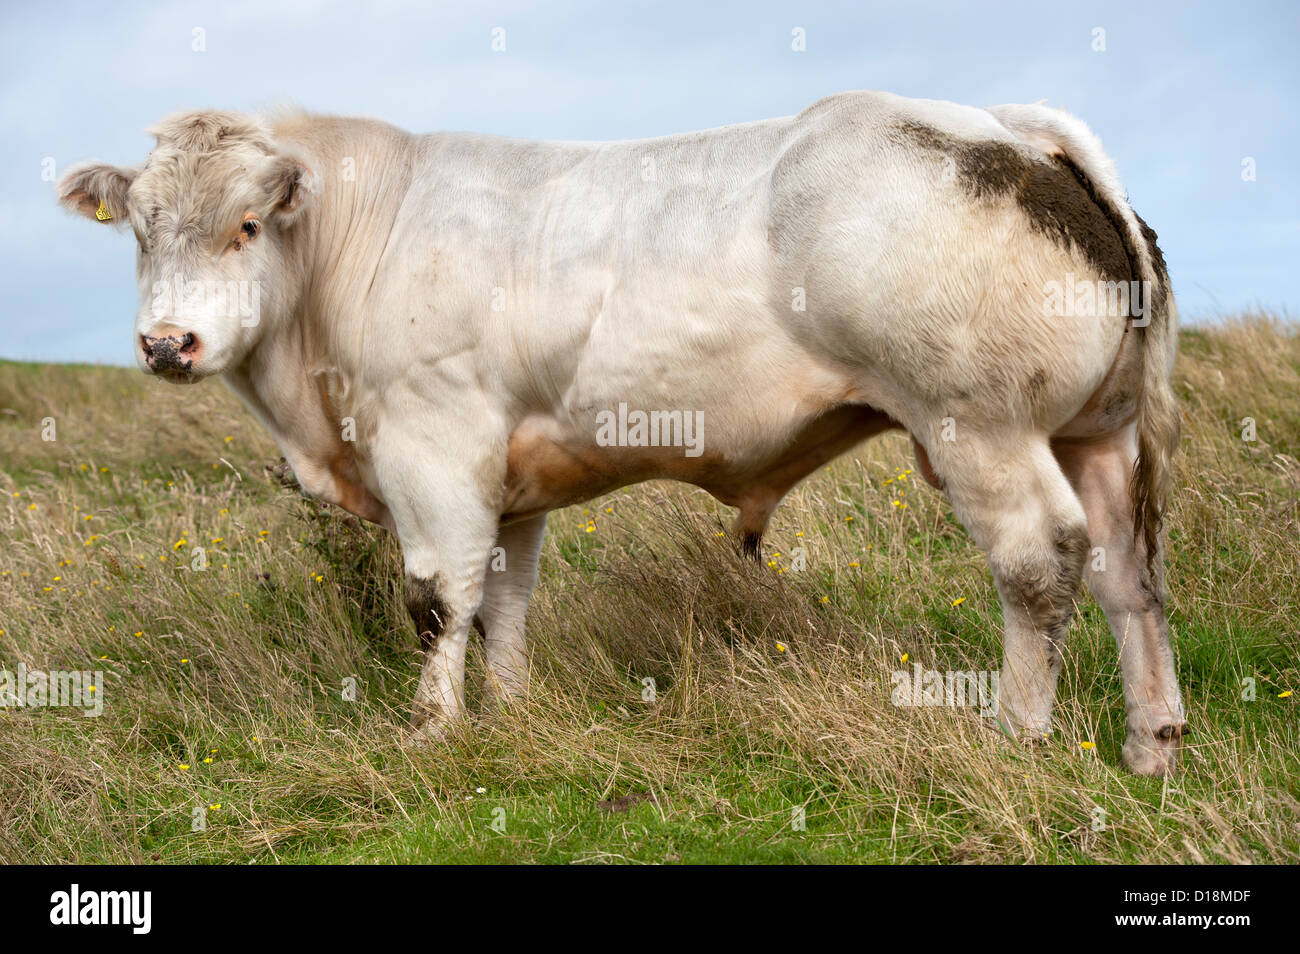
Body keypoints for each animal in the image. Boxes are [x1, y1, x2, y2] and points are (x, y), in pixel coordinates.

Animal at [57, 91, 1185, 774]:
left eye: (246, 226)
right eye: (142, 233)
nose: (167, 343)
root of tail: (1009, 129)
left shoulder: (433, 442)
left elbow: (436, 599)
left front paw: (430, 731)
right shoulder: (511, 477)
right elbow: (503, 604)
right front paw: (510, 711)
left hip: (979, 427)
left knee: (1040, 563)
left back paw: (1017, 739)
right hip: (1096, 436)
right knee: (1127, 576)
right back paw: (1152, 745)